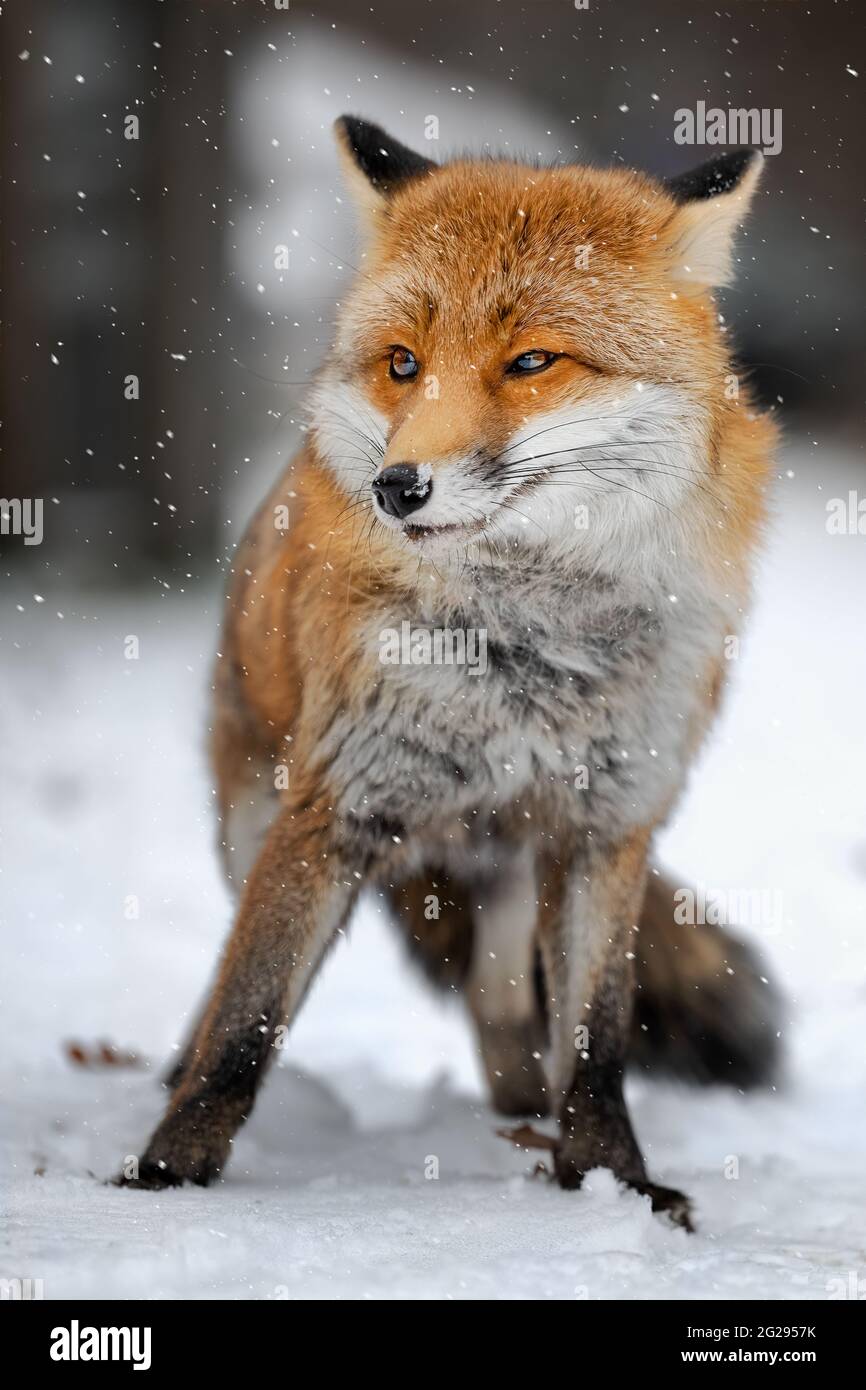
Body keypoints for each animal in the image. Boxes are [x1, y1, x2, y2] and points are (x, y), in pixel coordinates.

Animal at [121, 117, 781, 1228]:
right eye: (402, 363)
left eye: (531, 360)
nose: (397, 486)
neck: (521, 655)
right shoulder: (331, 805)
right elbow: (246, 1024)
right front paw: (162, 1177)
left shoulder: (606, 824)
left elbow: (596, 1045)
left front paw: (612, 1181)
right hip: (249, 823)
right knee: (226, 982)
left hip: (513, 878)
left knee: (503, 1016)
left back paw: (518, 1123)